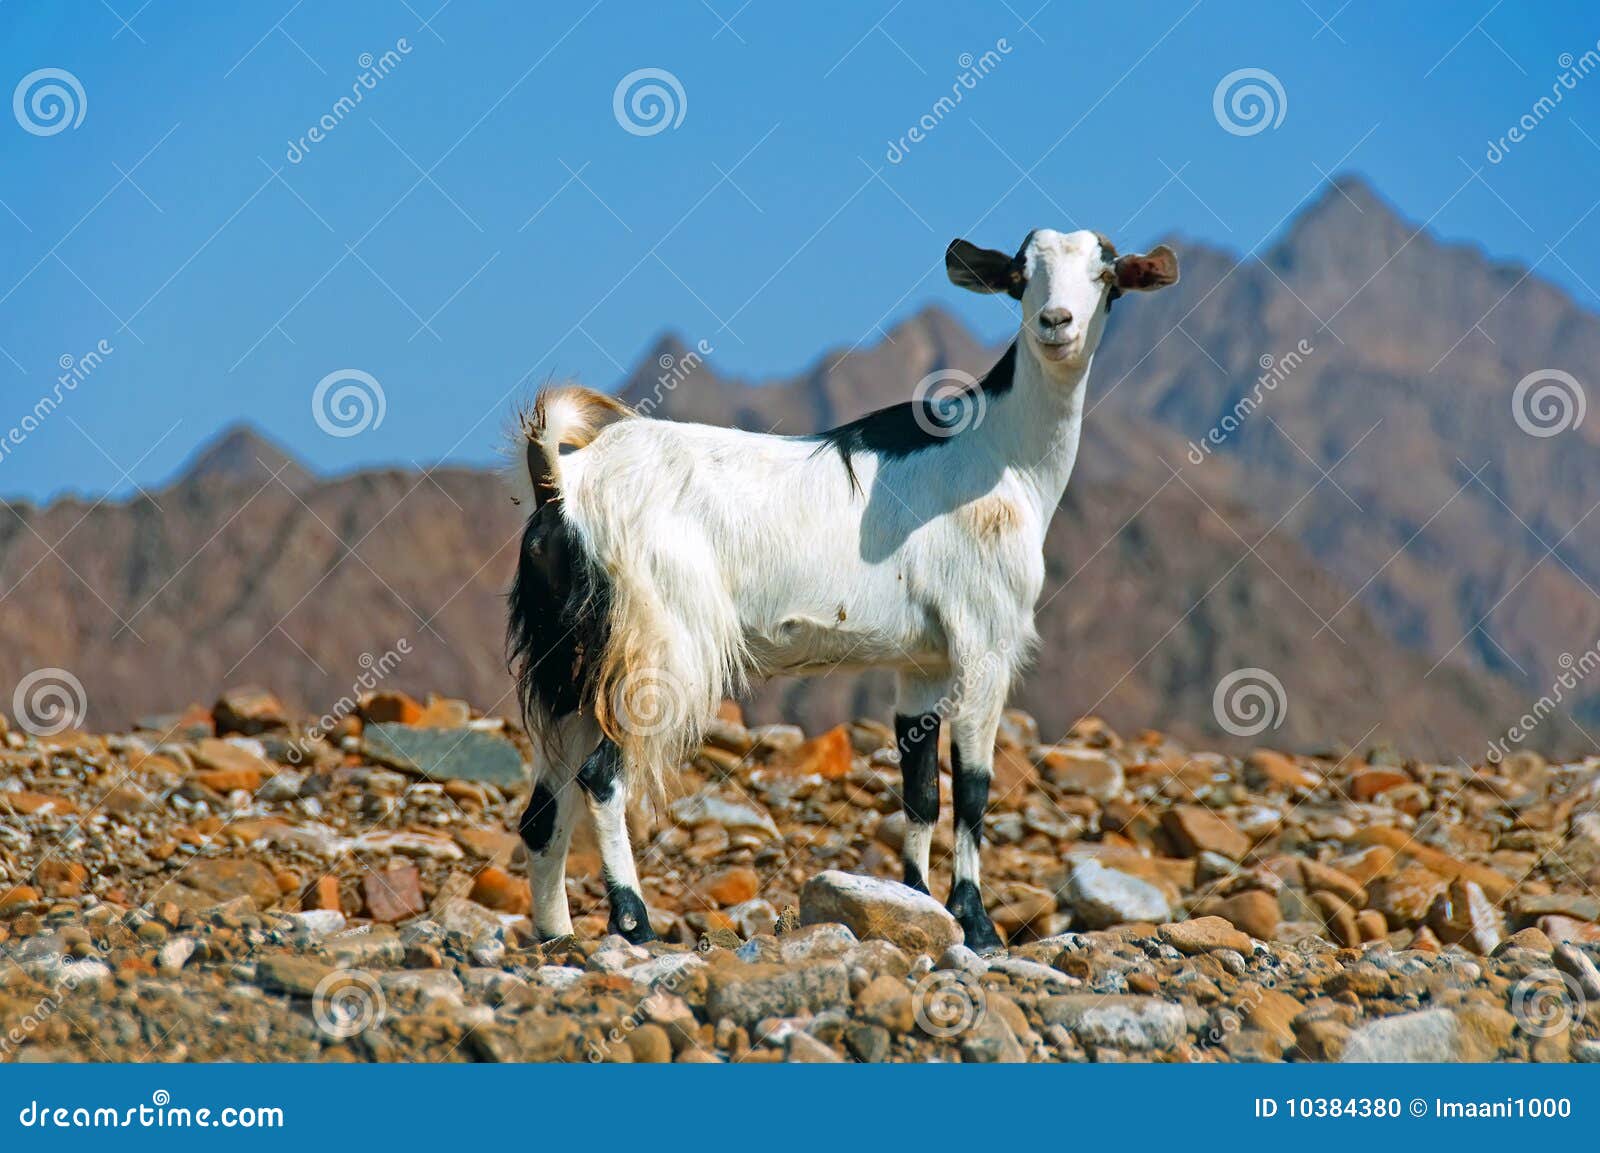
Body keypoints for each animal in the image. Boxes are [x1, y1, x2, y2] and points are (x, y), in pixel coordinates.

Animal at [506, 229, 1179, 948]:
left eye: (1105, 275)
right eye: (1022, 275)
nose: (1057, 322)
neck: (1002, 457)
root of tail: (564, 483)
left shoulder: (923, 663)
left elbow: (921, 791)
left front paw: (917, 903)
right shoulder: (985, 640)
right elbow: (973, 786)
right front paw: (975, 922)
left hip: (570, 660)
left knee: (543, 809)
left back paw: (556, 933)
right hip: (659, 641)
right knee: (602, 775)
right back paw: (634, 923)